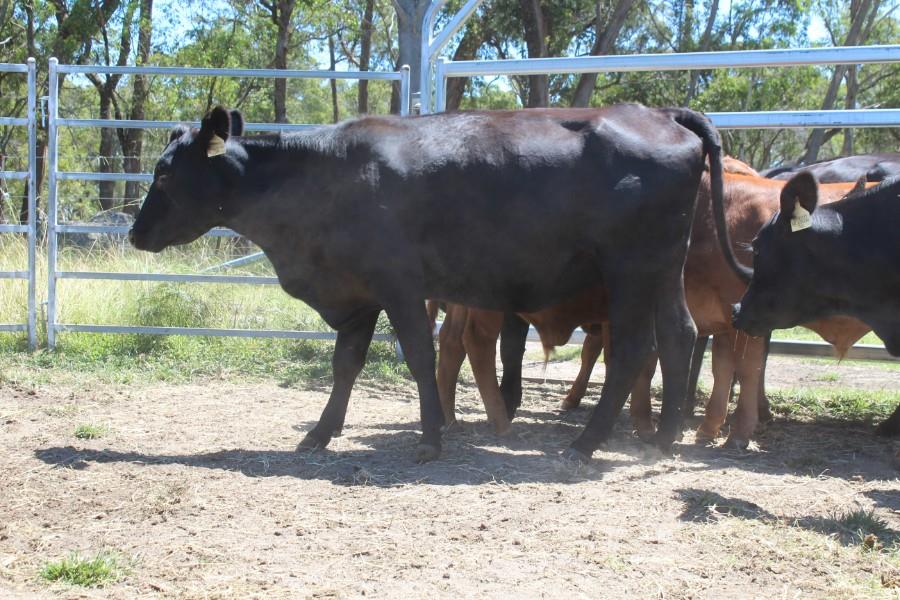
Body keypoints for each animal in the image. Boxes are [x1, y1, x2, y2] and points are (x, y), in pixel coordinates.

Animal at [128, 104, 750, 463]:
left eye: (164, 172)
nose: (134, 231)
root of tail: (661, 116)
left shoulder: (401, 285)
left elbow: (419, 359)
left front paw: (430, 439)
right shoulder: (358, 295)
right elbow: (345, 364)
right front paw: (321, 434)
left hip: (630, 270)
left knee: (635, 349)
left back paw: (585, 445)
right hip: (663, 271)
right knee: (679, 335)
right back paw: (663, 440)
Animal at [435, 173, 874, 447]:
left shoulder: (732, 317)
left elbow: (725, 368)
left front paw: (700, 428)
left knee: (454, 343)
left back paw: (451, 415)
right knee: (476, 343)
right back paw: (494, 419)